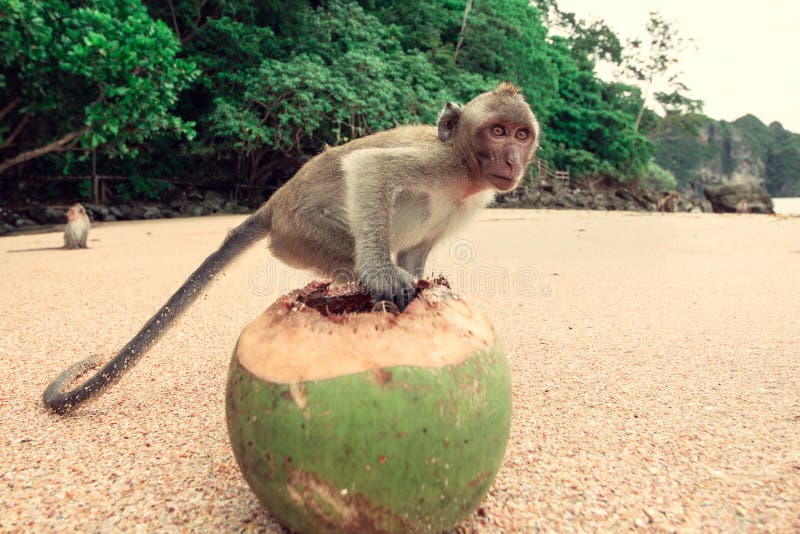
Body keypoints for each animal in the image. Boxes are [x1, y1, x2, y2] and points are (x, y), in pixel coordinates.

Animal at [43, 83, 540, 413]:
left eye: (521, 134)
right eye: (496, 131)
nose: (512, 159)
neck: (466, 171)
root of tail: (275, 202)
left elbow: (416, 255)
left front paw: (425, 287)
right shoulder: (440, 163)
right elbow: (370, 170)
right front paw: (384, 276)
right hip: (303, 234)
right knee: (347, 249)